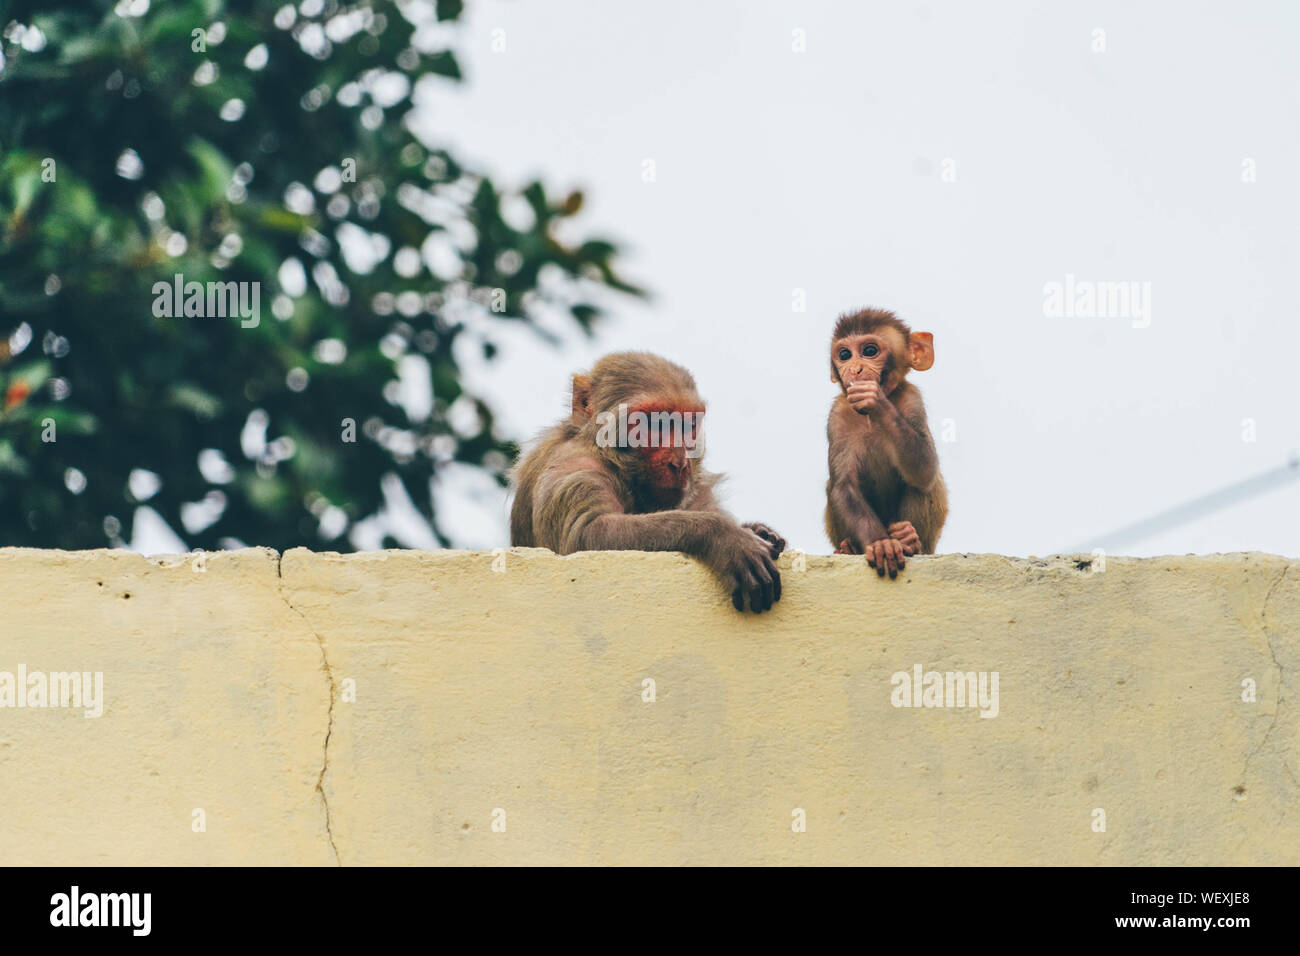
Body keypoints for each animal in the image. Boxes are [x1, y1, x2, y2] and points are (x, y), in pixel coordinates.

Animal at [510, 351, 786, 612]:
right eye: (654, 423)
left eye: (689, 425)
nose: (679, 463)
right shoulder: (573, 465)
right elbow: (585, 534)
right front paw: (723, 534)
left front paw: (759, 530)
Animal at [824, 308, 947, 579]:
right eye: (844, 355)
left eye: (870, 351)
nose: (855, 370)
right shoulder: (837, 416)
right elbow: (844, 486)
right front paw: (881, 544)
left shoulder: (912, 398)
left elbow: (925, 469)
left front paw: (876, 399)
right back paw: (849, 548)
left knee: (923, 483)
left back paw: (910, 540)